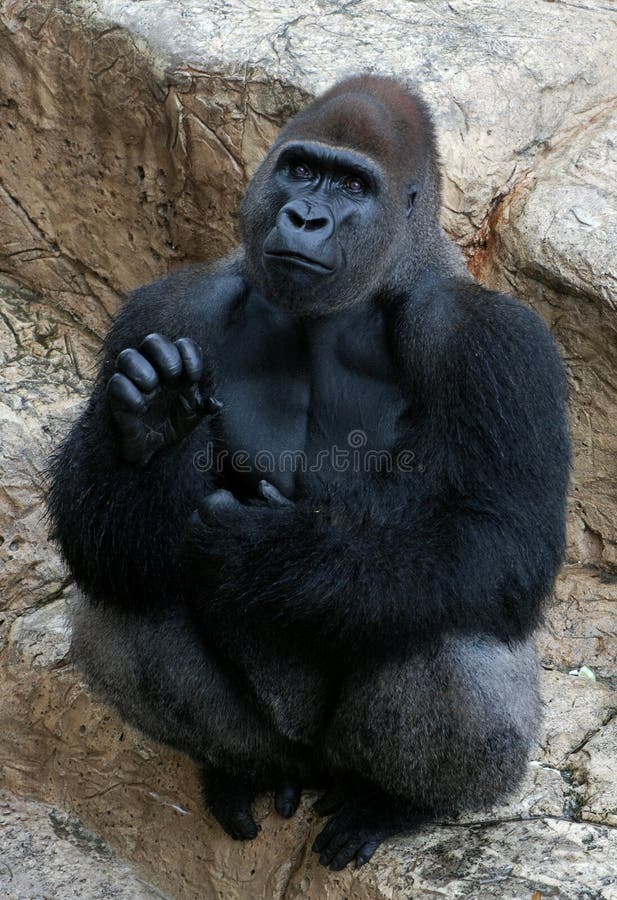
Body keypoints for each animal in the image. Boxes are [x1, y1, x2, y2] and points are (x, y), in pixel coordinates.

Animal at [48, 75, 570, 870]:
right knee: (126, 600)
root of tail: (315, 770)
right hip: (281, 745)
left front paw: (267, 556)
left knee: (449, 620)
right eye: (299, 170)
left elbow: (500, 535)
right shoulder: (166, 308)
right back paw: (241, 770)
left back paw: (392, 803)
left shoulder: (496, 342)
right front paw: (151, 425)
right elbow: (101, 536)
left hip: (344, 754)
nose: (306, 216)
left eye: (351, 184)